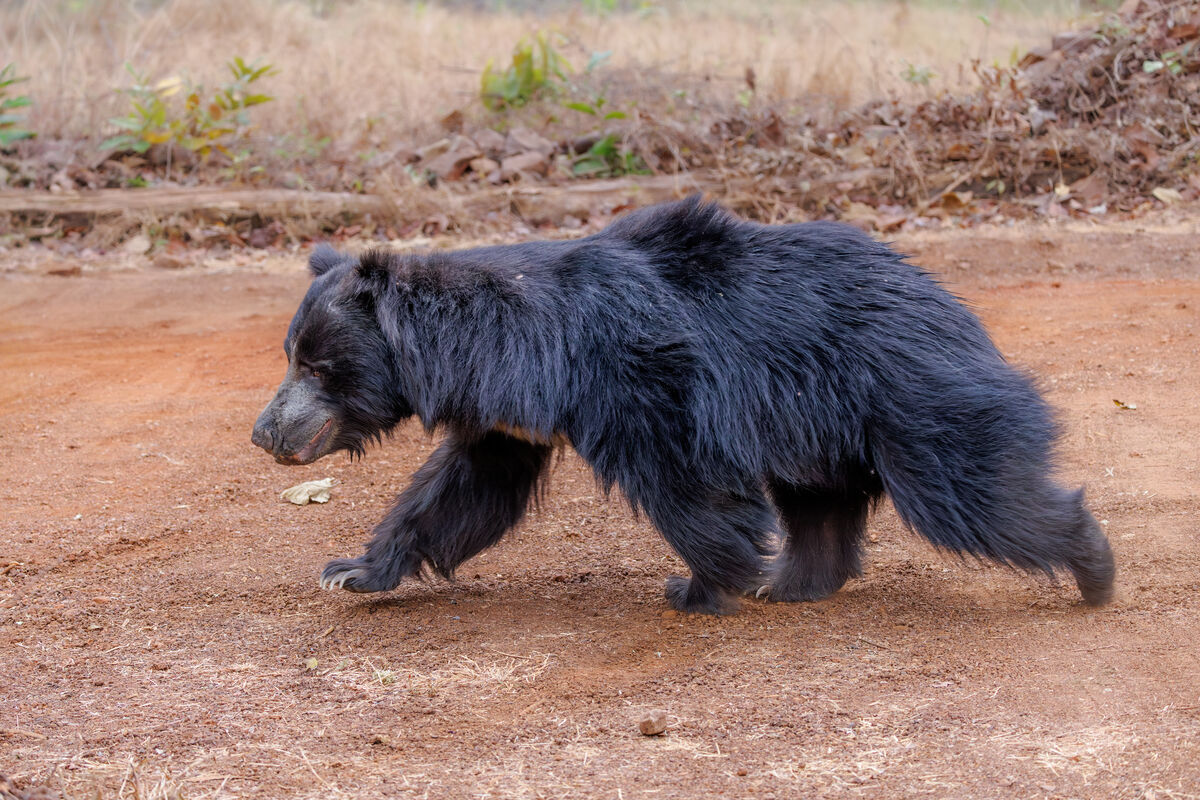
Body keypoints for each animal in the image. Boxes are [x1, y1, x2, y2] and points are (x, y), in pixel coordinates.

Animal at [250, 196, 1115, 615]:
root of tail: (955, 307)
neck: (513, 348)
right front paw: (352, 573)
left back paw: (1095, 572)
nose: (264, 434)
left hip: (910, 396)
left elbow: (687, 478)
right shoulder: (506, 420)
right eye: (293, 357)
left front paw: (703, 586)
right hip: (821, 426)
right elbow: (461, 492)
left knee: (971, 494)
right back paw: (793, 585)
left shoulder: (633, 373)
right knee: (821, 505)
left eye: (318, 367)